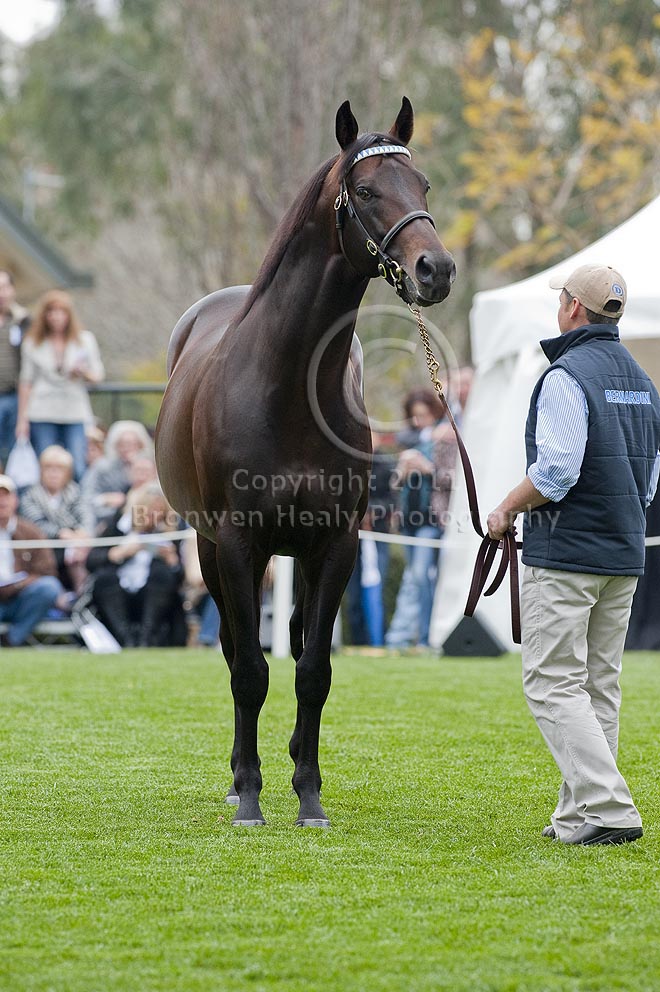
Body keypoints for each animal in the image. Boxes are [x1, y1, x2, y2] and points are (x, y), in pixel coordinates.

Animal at [155, 97, 455, 827]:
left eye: (424, 185)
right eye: (366, 191)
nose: (435, 270)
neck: (287, 385)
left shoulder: (338, 545)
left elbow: (313, 669)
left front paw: (309, 795)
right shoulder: (239, 544)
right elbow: (250, 671)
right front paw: (250, 797)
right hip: (212, 551)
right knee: (236, 649)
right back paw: (240, 774)